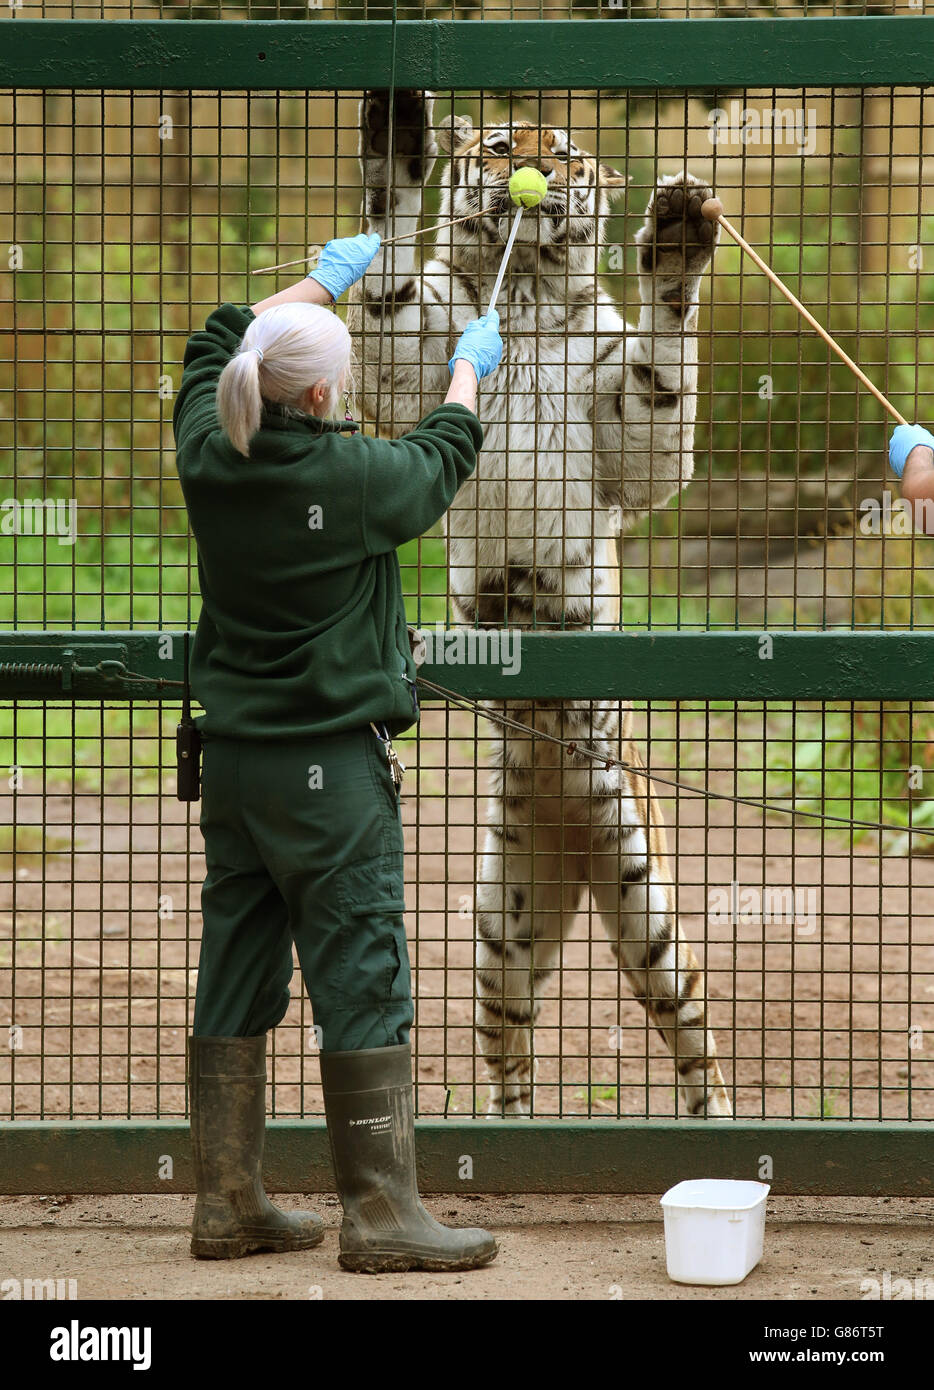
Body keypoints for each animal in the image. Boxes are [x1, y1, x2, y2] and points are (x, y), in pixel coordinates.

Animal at [347, 88, 731, 1119]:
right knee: (512, 1047)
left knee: (696, 1046)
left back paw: (719, 1125)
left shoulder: (627, 436)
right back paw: (503, 1125)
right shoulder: (411, 362)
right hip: (499, 921)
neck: (522, 296)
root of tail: (569, 834)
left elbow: (659, 369)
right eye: (494, 145)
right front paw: (398, 140)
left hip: (649, 906)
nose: (535, 174)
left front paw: (677, 242)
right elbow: (391, 266)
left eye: (566, 153)